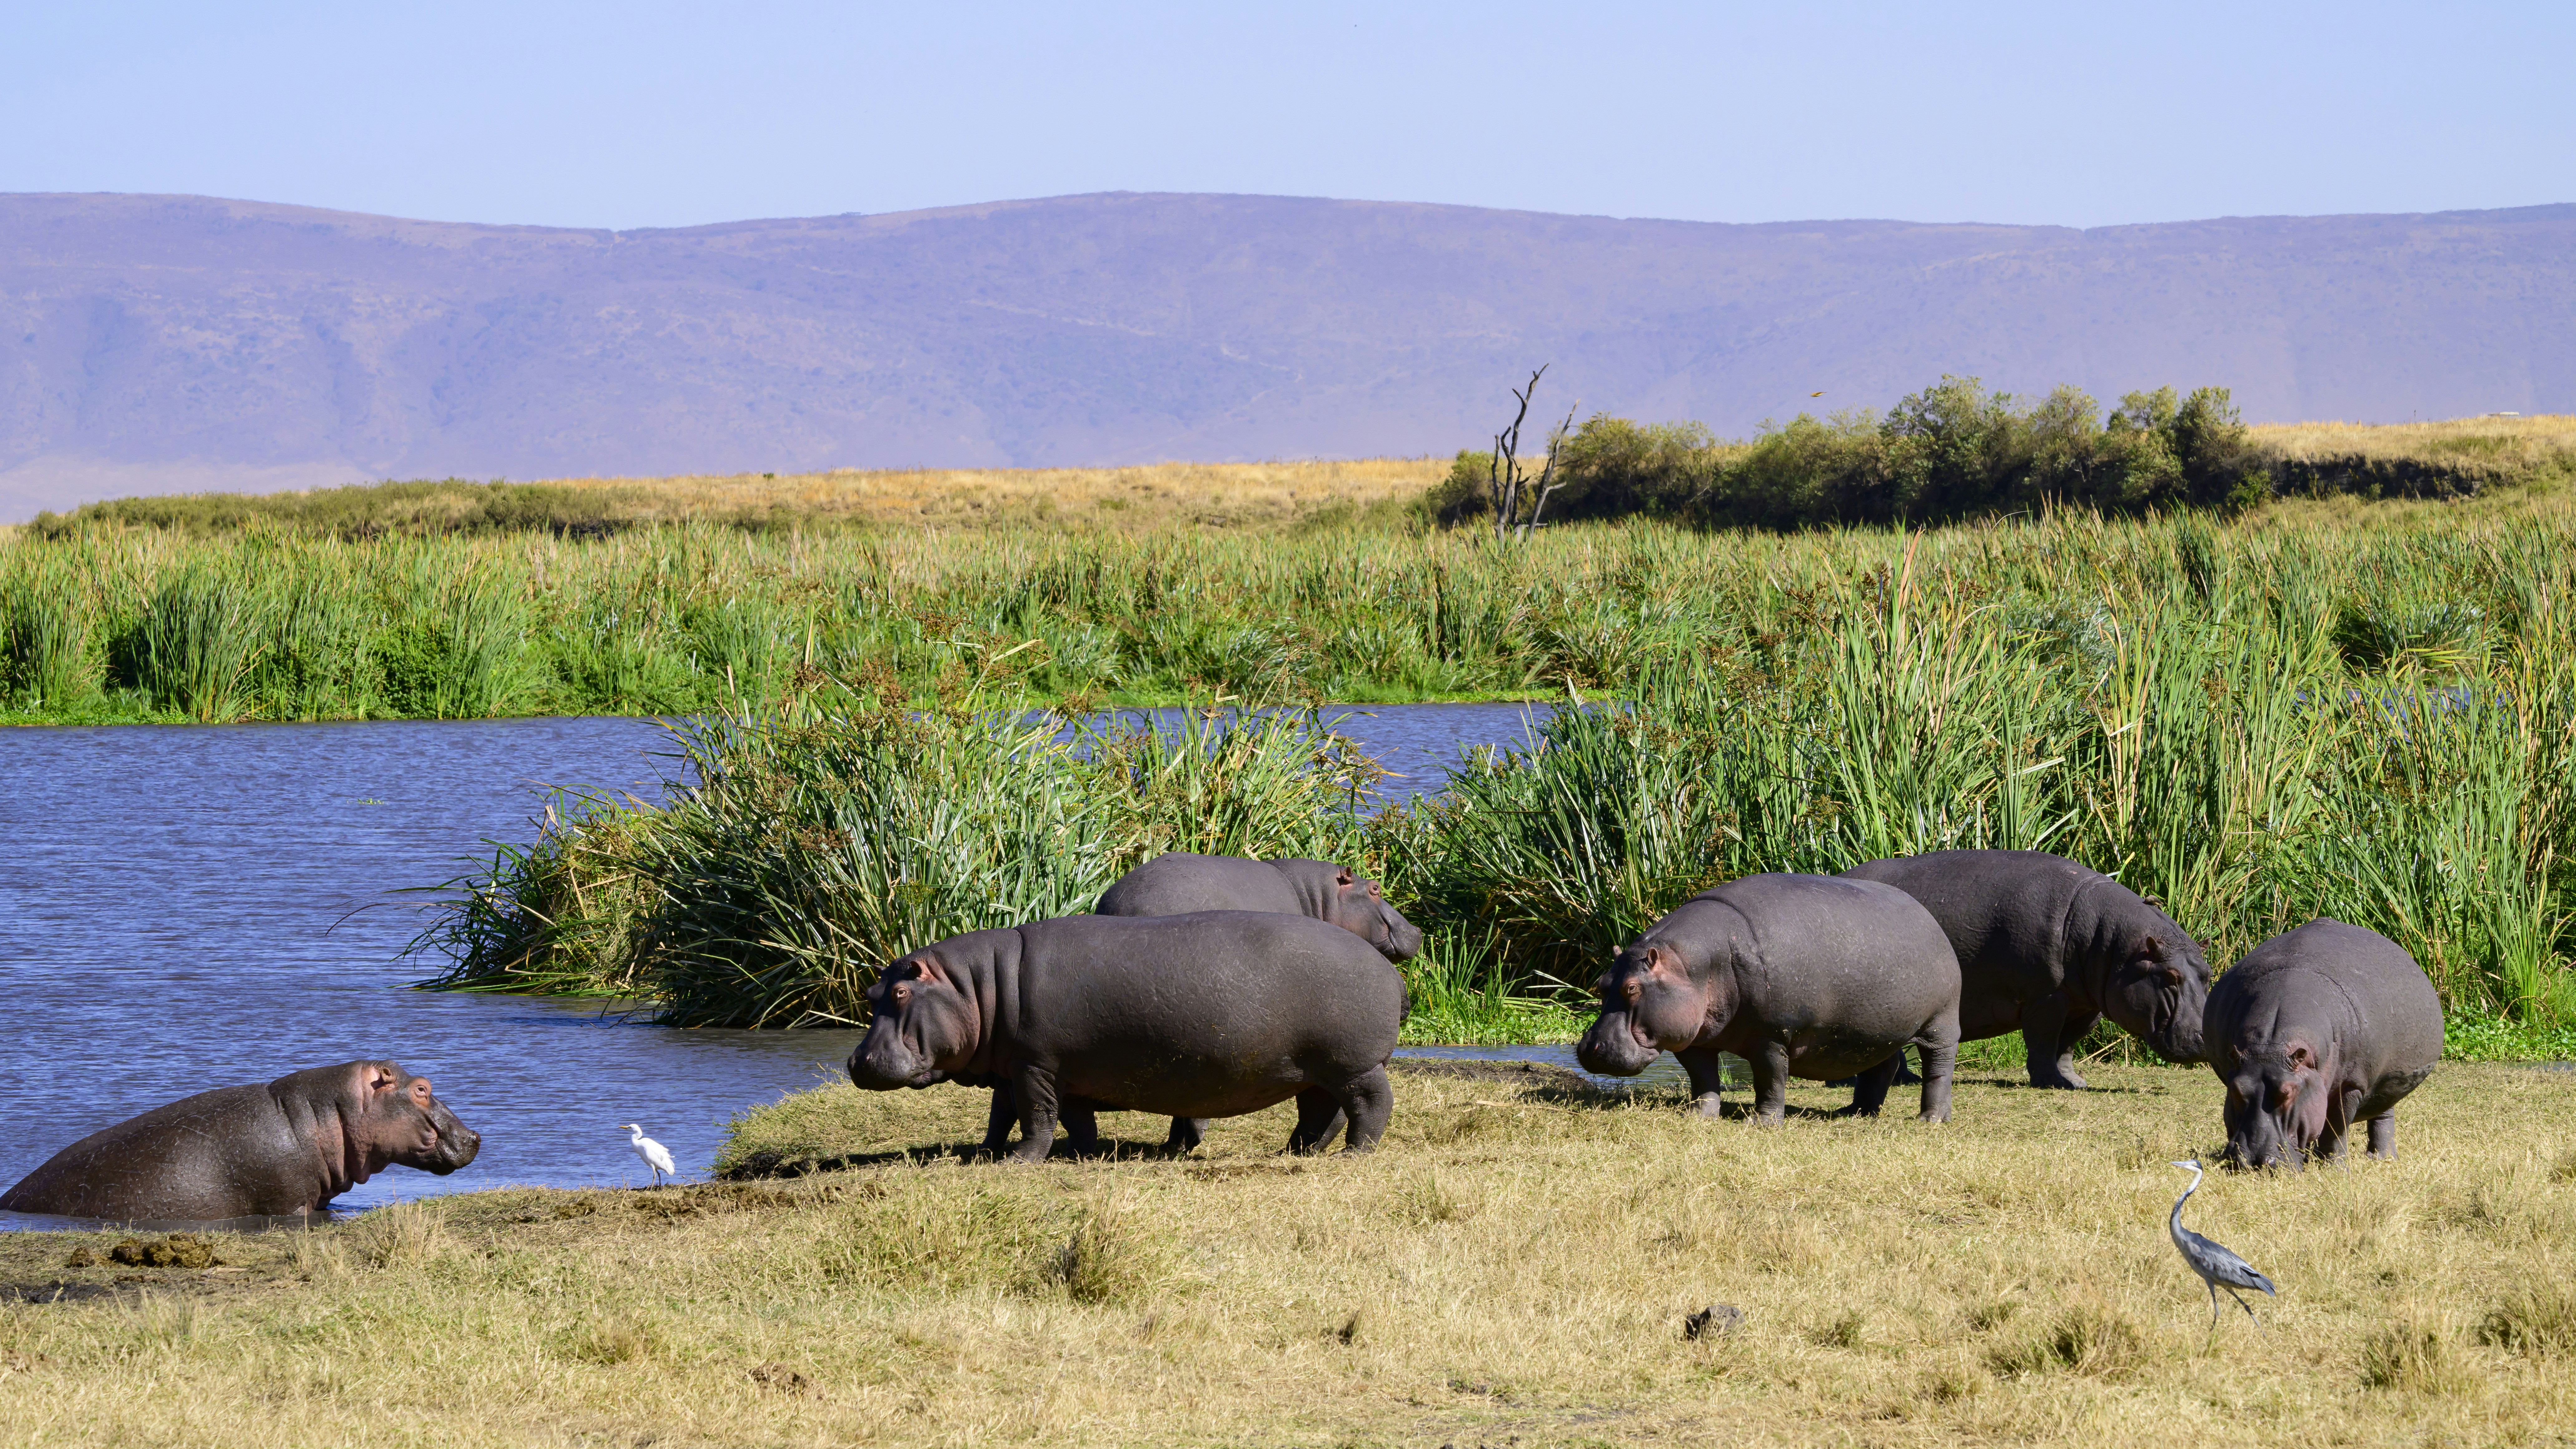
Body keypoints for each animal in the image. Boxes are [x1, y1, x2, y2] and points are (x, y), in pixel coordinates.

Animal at [849, 911, 1405, 1161]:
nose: (856, 1062)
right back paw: (1295, 1153)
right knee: (1319, 1113)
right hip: (1316, 1070)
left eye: (900, 992)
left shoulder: (1034, 1065)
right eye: (872, 990)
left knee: (1369, 1105)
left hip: (1353, 1065)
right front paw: (1003, 1152)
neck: (977, 987)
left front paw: (1021, 1161)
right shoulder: (1030, 1068)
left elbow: (1034, 1116)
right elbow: (1024, 1115)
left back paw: (1355, 1154)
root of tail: (1389, 969)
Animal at [1576, 874, 1962, 1123]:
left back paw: (1930, 1120)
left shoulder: (1772, 1036)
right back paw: (1855, 1114)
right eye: (1602, 984)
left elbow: (1770, 1080)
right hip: (1875, 1032)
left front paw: (1761, 1123)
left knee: (1939, 1069)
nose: (1590, 1048)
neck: (1692, 967)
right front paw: (1698, 1116)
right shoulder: (1695, 1040)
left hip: (1940, 1023)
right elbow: (1703, 1080)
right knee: (1882, 1067)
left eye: (1632, 988)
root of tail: (1929, 918)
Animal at [1840, 849, 2212, 1088]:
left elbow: (2067, 1046)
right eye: (2170, 977)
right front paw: (2050, 1083)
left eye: (2208, 973)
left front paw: (2075, 1082)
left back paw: (1905, 1079)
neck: (2113, 942)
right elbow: (2045, 1042)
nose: (2204, 1036)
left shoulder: (2088, 1004)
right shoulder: (2046, 998)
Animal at [2206, 918, 2442, 1170]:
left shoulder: (2350, 1085)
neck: (2273, 1047)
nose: (2254, 1161)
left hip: (2388, 1080)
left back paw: (2382, 1158)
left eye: (2287, 1093)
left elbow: (2337, 1126)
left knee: (2383, 1113)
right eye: (2236, 1090)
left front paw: (2335, 1167)